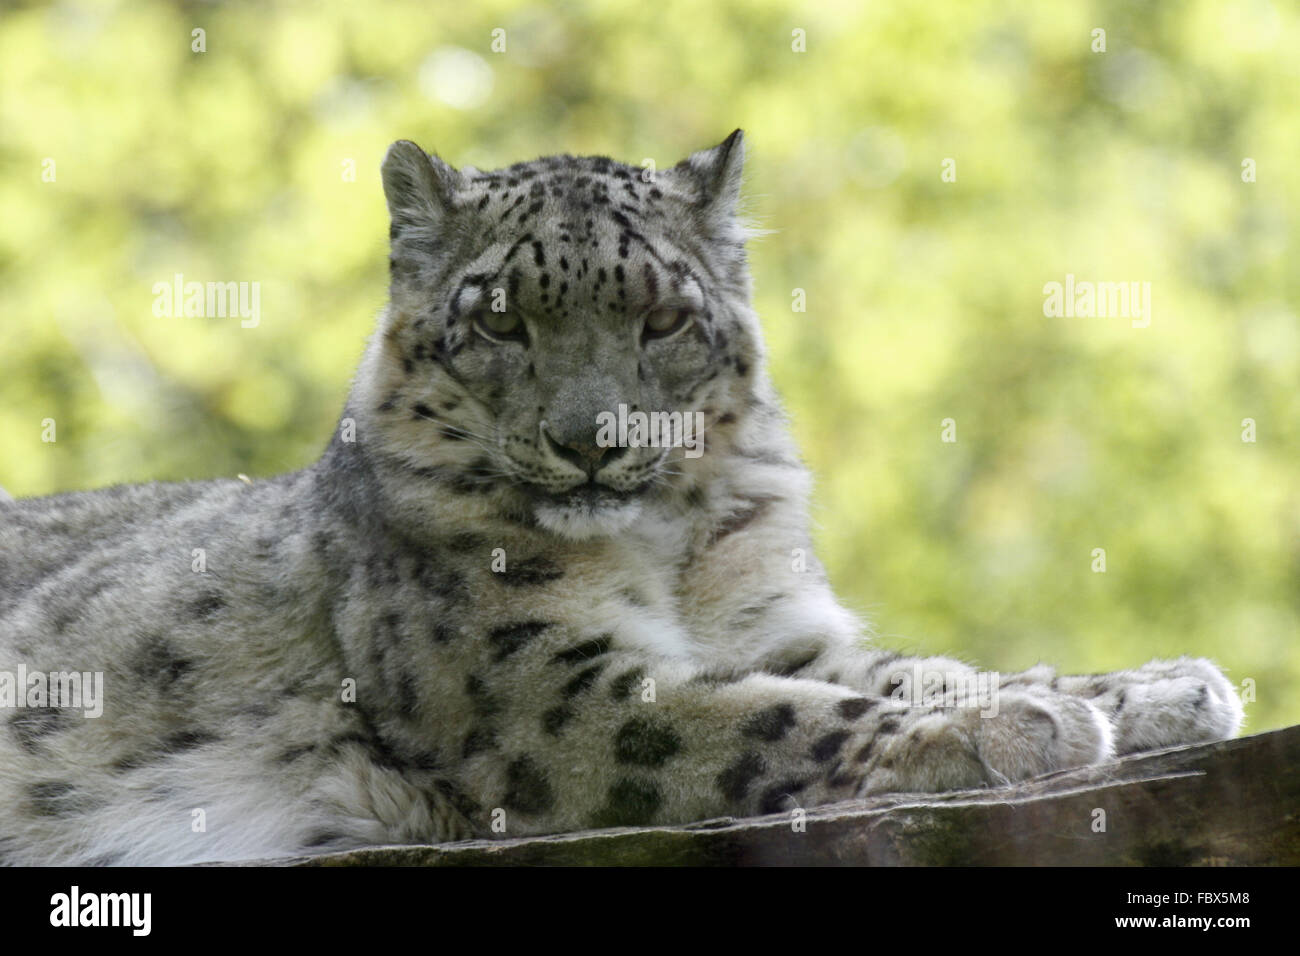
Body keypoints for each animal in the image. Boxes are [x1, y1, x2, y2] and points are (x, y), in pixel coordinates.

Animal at [0, 131, 1243, 865]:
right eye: (500, 318)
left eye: (663, 316)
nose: (590, 442)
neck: (672, 552)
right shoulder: (543, 689)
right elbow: (769, 717)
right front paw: (1007, 727)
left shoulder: (777, 629)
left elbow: (900, 669)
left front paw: (1153, 688)